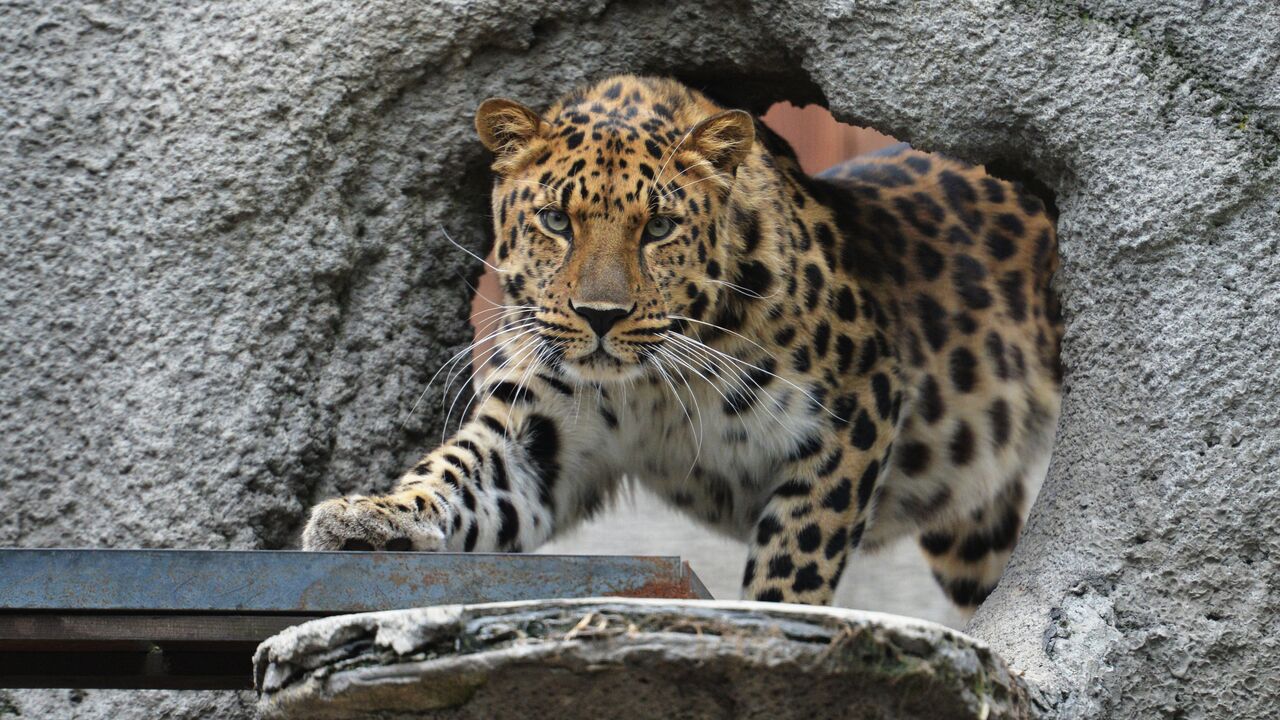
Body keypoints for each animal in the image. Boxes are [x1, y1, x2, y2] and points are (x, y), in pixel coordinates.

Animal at [302, 74, 1063, 613]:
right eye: (556, 220)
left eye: (659, 228)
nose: (599, 315)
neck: (650, 386)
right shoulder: (536, 435)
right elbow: (456, 474)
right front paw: (364, 516)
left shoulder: (857, 410)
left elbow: (797, 553)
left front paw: (772, 619)